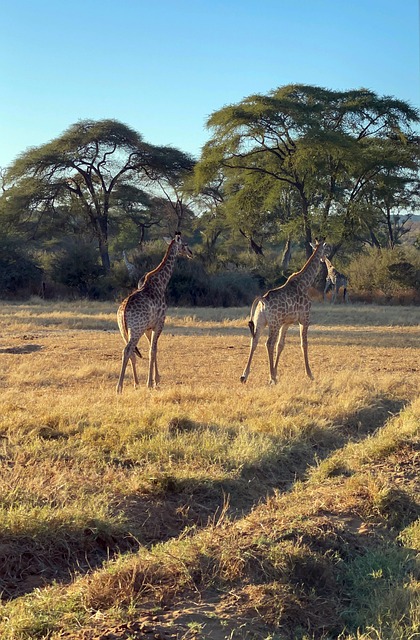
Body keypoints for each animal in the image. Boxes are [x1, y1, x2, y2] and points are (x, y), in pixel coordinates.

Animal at [116, 233, 192, 393]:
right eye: (185, 244)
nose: (191, 253)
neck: (161, 283)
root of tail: (123, 311)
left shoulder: (148, 327)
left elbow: (152, 349)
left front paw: (154, 380)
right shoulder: (160, 322)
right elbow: (153, 350)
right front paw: (151, 383)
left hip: (123, 330)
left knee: (131, 352)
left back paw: (135, 383)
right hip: (136, 329)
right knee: (127, 350)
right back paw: (119, 387)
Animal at [240, 238, 326, 385]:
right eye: (327, 249)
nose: (325, 259)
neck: (305, 283)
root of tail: (262, 300)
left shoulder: (286, 323)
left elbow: (280, 345)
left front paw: (275, 372)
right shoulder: (305, 319)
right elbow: (304, 344)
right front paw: (310, 374)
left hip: (260, 322)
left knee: (254, 341)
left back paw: (244, 376)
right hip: (273, 323)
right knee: (268, 343)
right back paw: (272, 378)